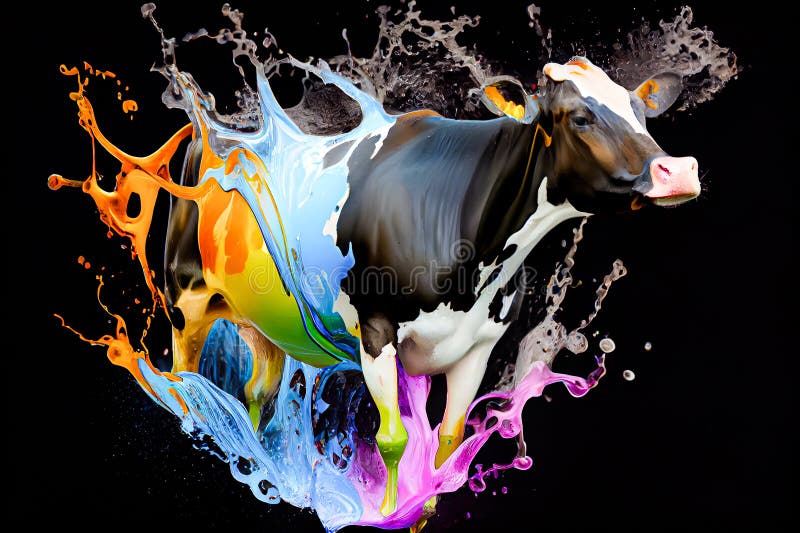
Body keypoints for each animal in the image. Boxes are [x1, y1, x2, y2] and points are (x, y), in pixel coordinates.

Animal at [163, 57, 700, 513]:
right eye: (580, 117)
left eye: (641, 111)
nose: (678, 171)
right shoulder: (376, 329)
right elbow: (393, 439)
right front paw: (386, 511)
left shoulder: (480, 345)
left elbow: (447, 438)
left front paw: (424, 506)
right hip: (186, 297)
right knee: (183, 380)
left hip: (264, 322)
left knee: (258, 390)